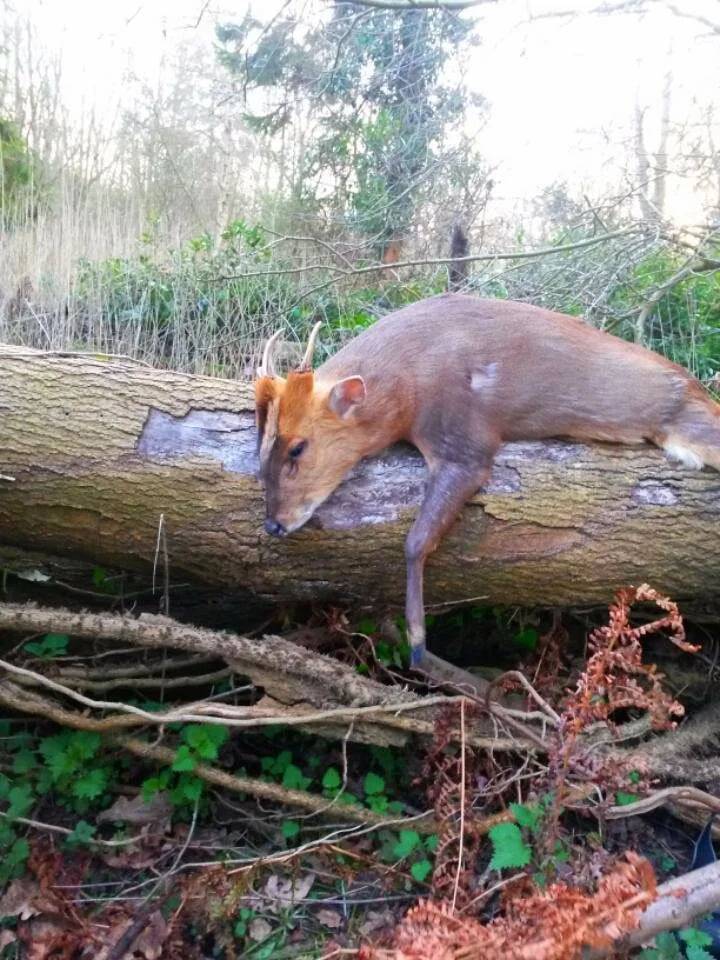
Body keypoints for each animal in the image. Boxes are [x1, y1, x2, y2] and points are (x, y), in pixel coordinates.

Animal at [254, 239, 720, 694]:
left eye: (298, 448)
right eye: (262, 448)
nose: (274, 523)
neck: (405, 385)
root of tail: (696, 385)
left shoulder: (467, 442)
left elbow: (415, 543)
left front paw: (427, 652)